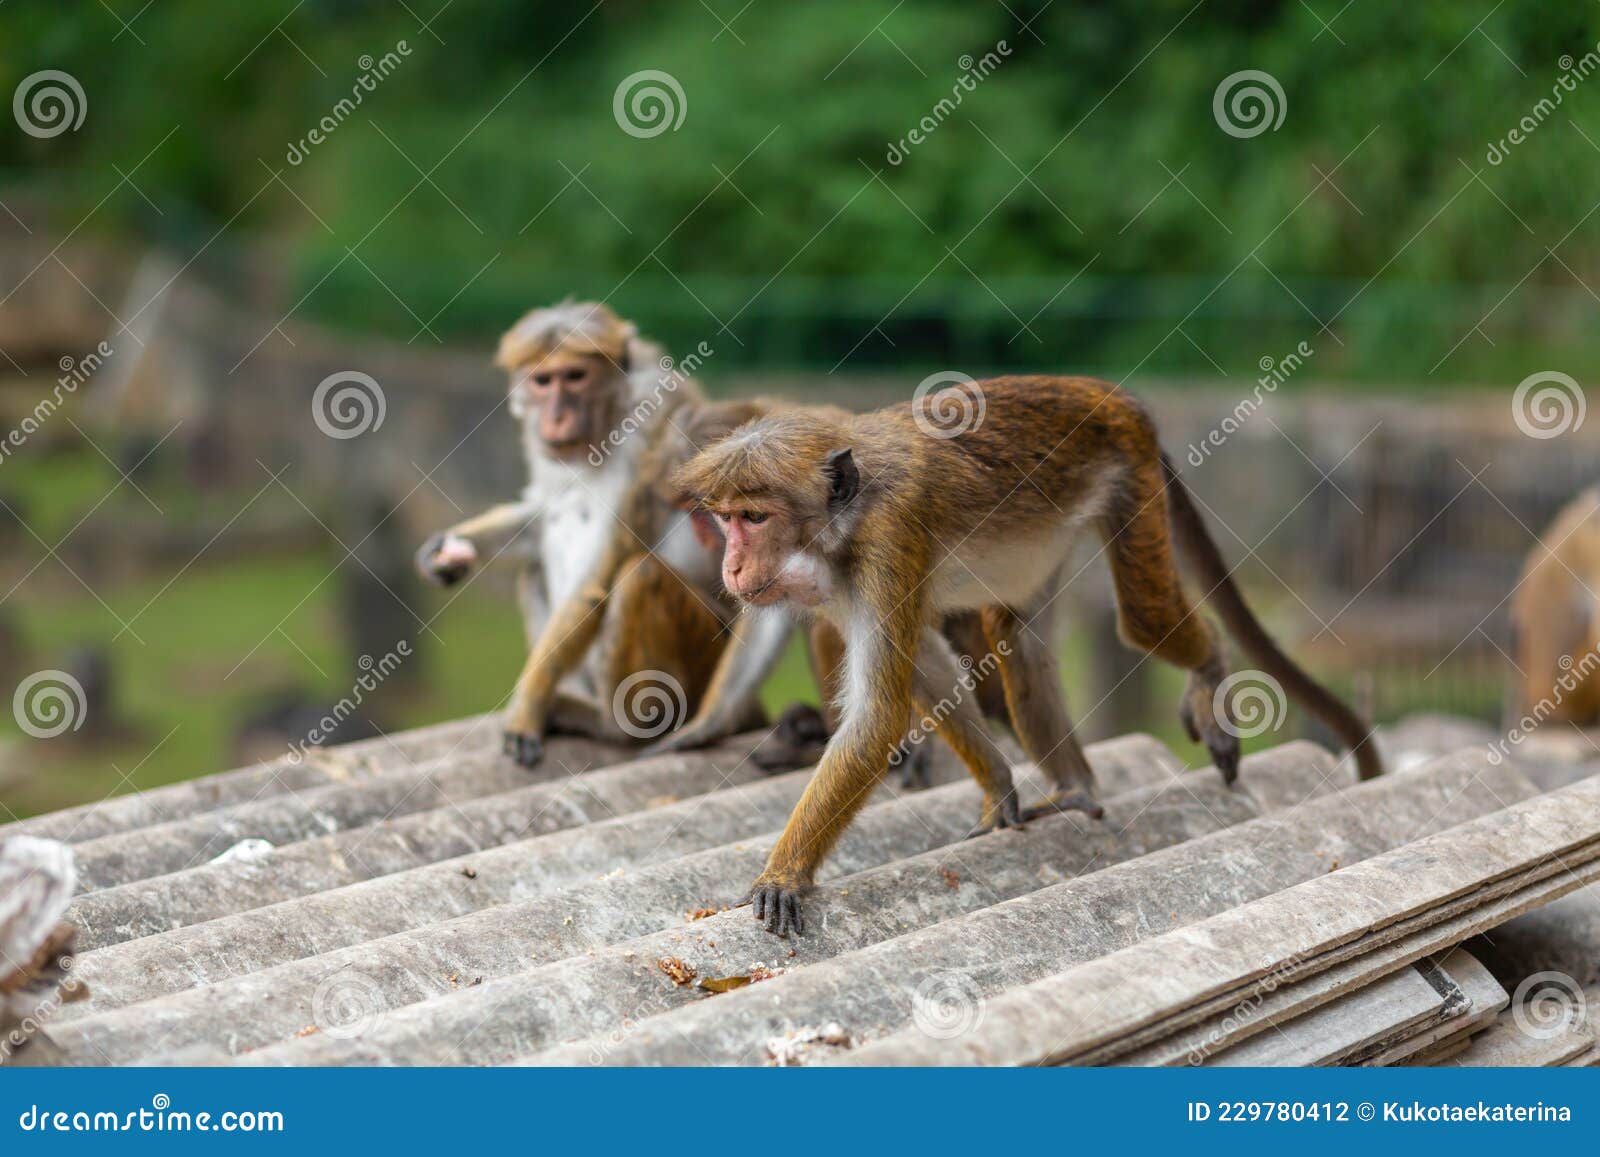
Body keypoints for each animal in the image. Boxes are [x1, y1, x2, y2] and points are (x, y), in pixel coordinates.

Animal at [415, 301, 802, 767]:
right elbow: (540, 514)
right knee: (534, 567)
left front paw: (527, 707)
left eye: (574, 377)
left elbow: (597, 574)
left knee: (640, 575)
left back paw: (617, 726)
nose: (556, 415)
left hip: (705, 660)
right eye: (543, 381)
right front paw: (448, 552)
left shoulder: (646, 434)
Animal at [670, 375, 1383, 935]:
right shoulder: (845, 584)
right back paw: (1074, 788)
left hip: (1128, 470)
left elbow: (878, 716)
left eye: (754, 518)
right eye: (727, 517)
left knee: (1145, 619)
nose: (730, 565)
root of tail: (1107, 393)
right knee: (1020, 630)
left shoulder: (888, 541)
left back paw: (1208, 671)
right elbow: (924, 666)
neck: (845, 520)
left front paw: (784, 873)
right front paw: (999, 787)